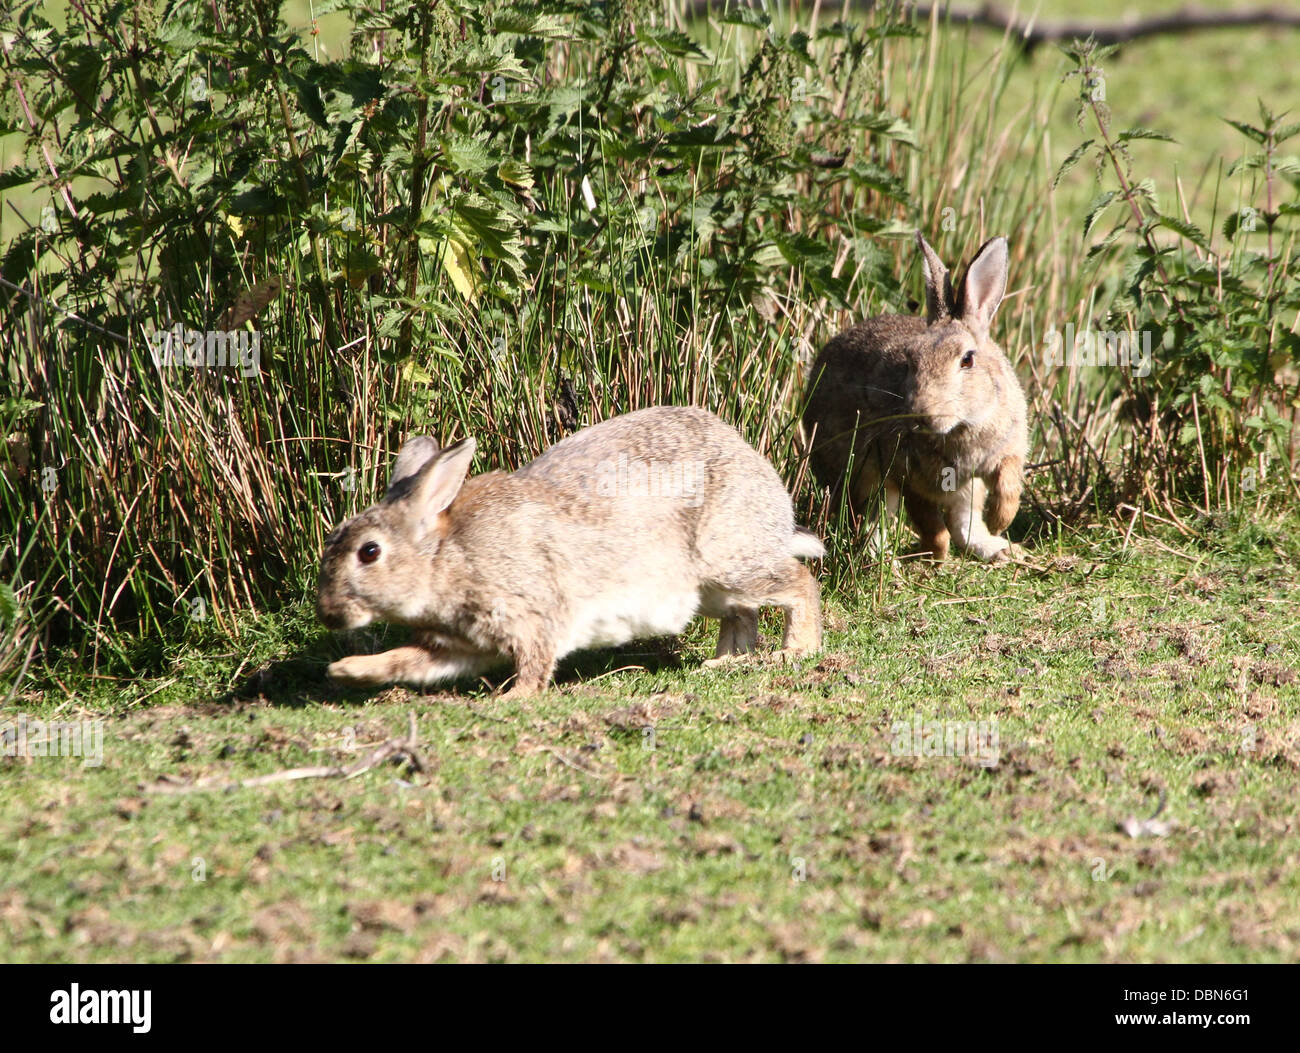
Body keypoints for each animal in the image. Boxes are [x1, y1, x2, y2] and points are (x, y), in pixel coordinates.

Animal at [316, 405, 824, 697]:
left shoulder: (531, 616)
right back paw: (722, 662)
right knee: (743, 615)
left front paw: (512, 699)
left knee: (800, 582)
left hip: (730, 563)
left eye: (369, 552)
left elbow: (535, 663)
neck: (445, 559)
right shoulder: (458, 644)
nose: (328, 614)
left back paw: (793, 652)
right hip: (712, 591)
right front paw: (347, 671)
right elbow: (407, 661)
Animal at [801, 232, 1027, 562]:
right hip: (864, 481)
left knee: (966, 527)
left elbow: (1008, 482)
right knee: (871, 521)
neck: (961, 426)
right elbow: (929, 521)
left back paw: (1000, 549)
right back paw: (887, 560)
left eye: (967, 360)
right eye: (910, 360)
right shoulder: (903, 474)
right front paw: (937, 554)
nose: (922, 412)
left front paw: (1001, 520)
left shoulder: (1007, 450)